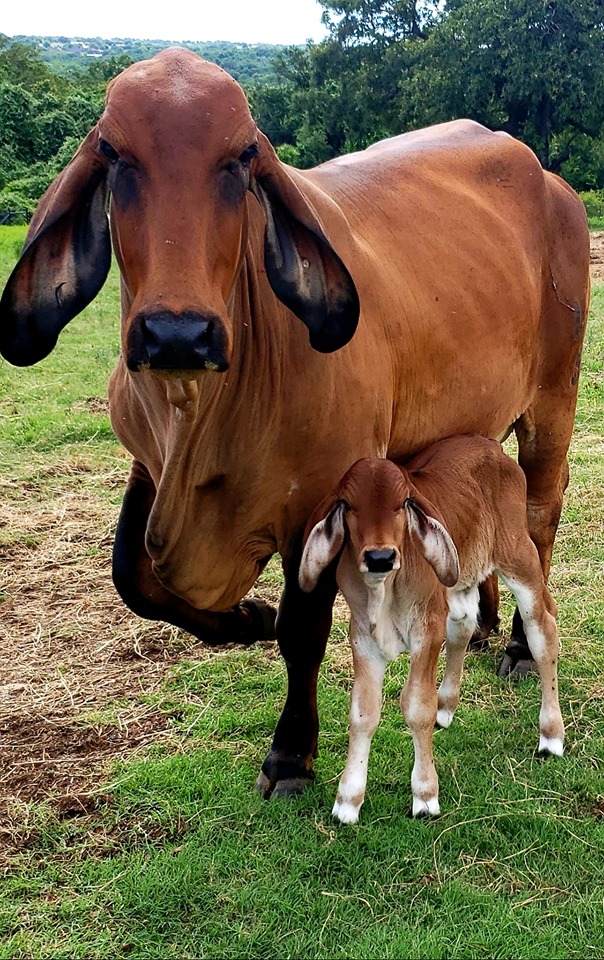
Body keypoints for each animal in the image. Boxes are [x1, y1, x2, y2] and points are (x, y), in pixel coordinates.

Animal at [298, 439, 564, 822]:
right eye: (347, 504)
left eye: (404, 502)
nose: (380, 557)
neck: (385, 590)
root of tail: (494, 449)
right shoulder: (362, 638)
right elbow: (363, 713)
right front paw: (347, 801)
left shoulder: (428, 631)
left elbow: (416, 706)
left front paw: (425, 795)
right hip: (460, 577)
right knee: (465, 624)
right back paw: (446, 707)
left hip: (520, 558)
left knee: (542, 630)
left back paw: (551, 735)